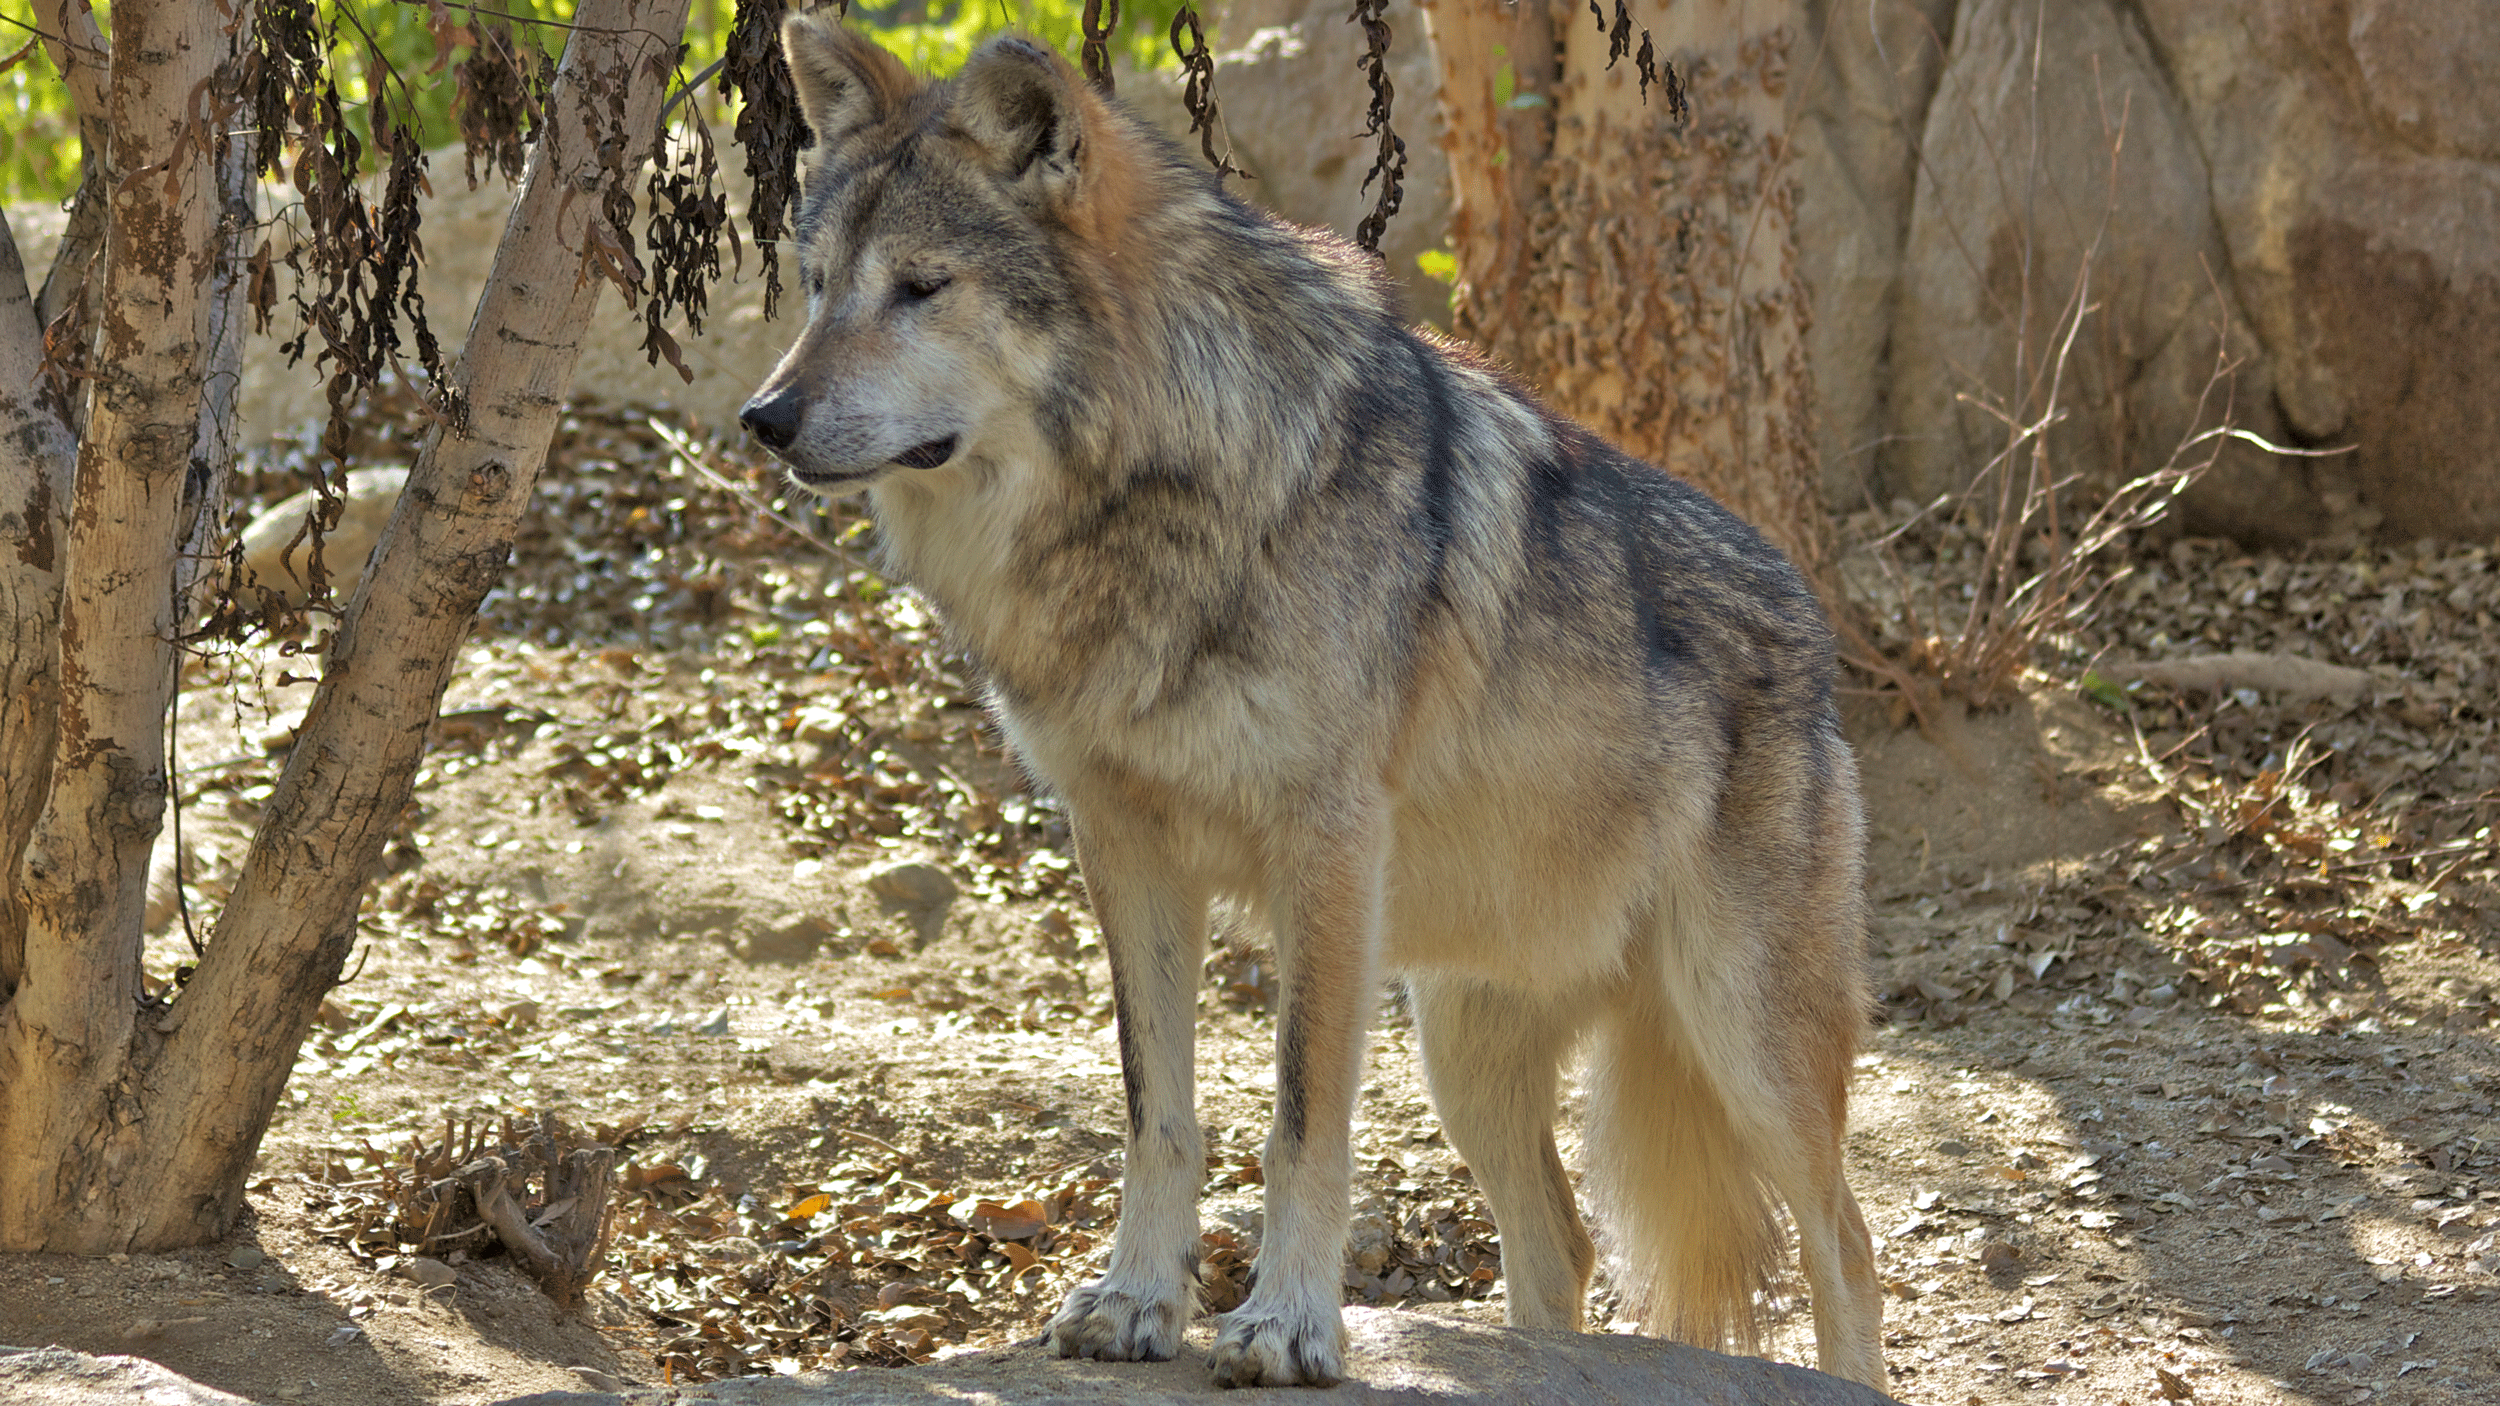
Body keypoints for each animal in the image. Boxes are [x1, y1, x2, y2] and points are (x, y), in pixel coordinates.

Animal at [740, 14, 1884, 1392]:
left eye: (920, 286)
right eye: (813, 284)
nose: (762, 415)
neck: (1155, 494)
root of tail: (1813, 629)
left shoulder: (1323, 848)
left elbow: (1298, 1120)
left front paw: (1285, 1325)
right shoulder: (1122, 845)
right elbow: (1158, 1109)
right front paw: (1136, 1301)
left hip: (1740, 1035)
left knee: (1846, 1243)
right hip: (1467, 1047)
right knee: (1561, 1240)